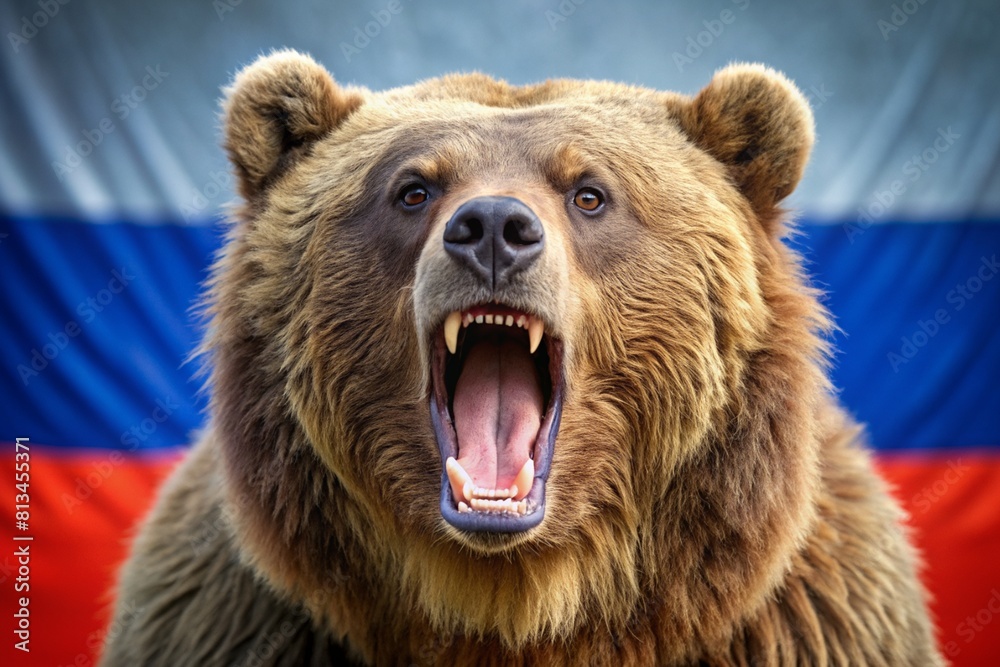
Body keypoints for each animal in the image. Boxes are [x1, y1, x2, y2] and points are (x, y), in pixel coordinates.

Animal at [101, 50, 942, 666]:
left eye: (590, 192)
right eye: (412, 188)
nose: (494, 229)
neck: (514, 599)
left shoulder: (803, 621)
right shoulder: (233, 616)